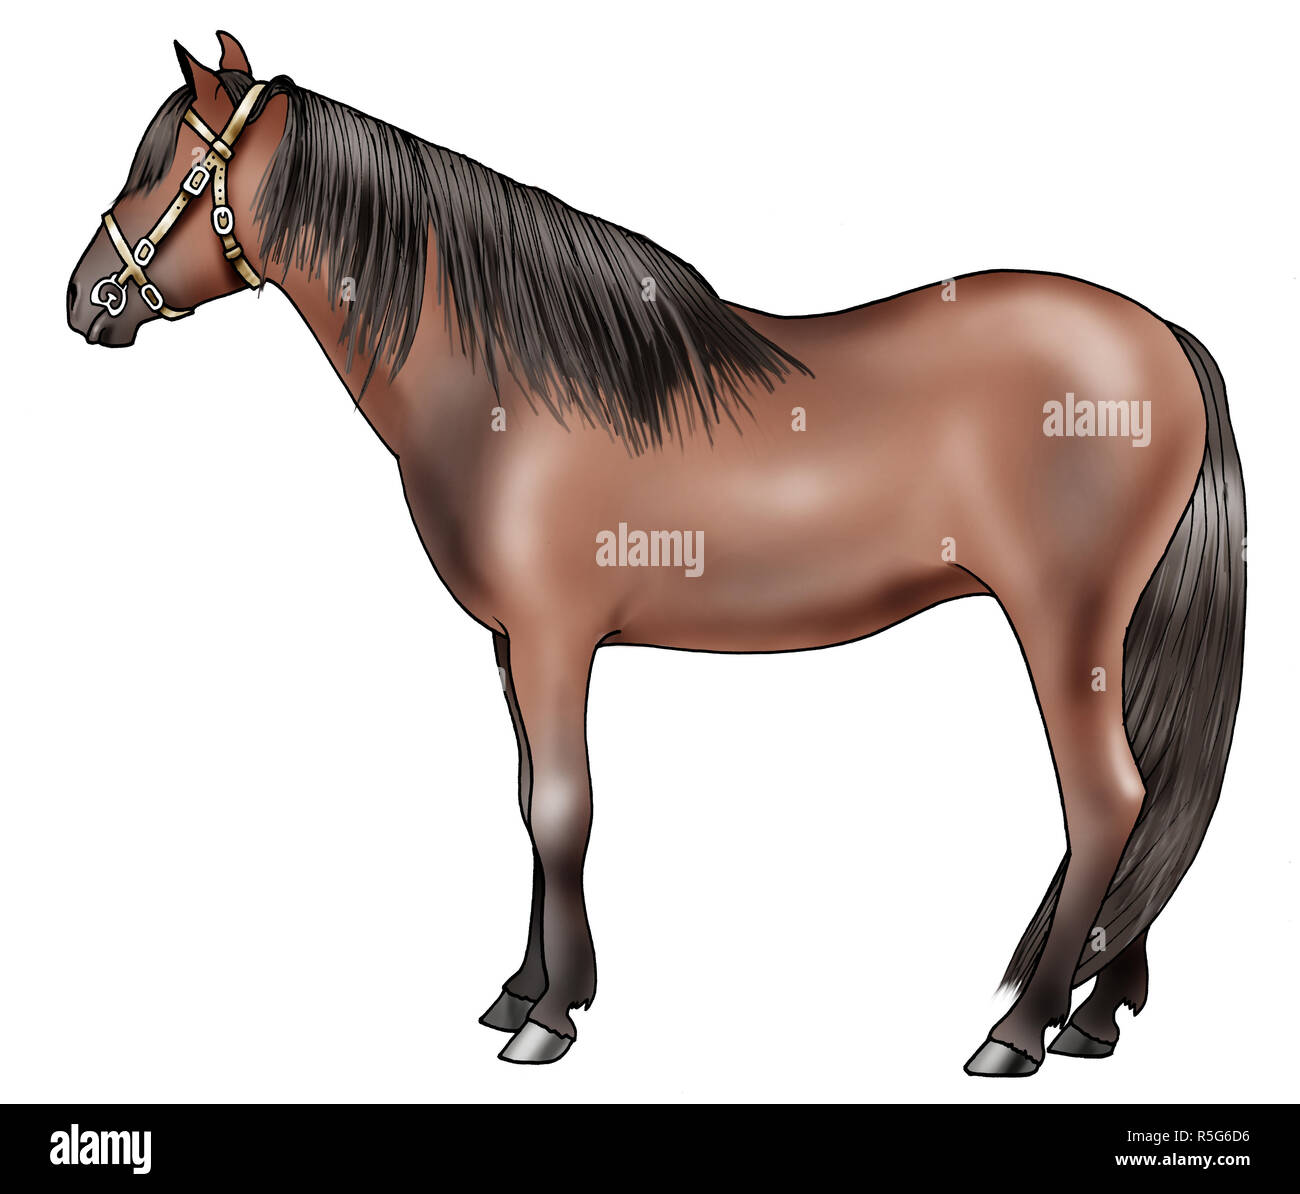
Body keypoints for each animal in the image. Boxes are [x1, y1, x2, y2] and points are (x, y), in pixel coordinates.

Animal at [66, 32, 1245, 1073]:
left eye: (163, 167)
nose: (84, 299)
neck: (509, 389)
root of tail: (1164, 340)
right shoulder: (512, 647)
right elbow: (527, 804)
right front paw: (522, 991)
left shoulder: (555, 640)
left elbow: (563, 810)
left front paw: (549, 1022)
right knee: (1153, 796)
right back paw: (1096, 1016)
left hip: (1064, 622)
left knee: (1107, 801)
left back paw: (1019, 1031)